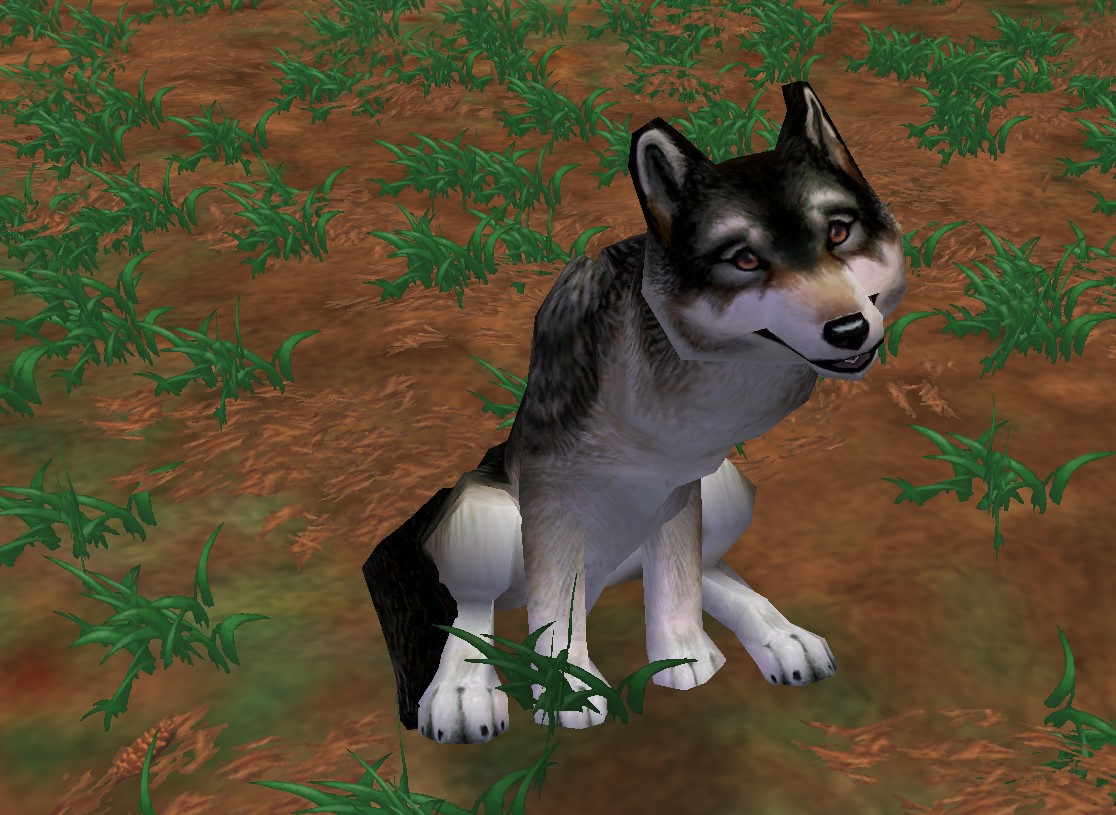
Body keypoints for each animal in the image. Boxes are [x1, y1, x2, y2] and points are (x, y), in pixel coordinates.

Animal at [363, 81, 908, 744]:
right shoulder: (552, 495)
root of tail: (609, 569)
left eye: (838, 233)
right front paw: (568, 689)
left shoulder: (678, 486)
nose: (849, 329)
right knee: (476, 609)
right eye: (744, 260)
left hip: (721, 490)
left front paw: (686, 658)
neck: (675, 373)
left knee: (702, 570)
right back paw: (462, 693)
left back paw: (778, 635)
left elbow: (676, 579)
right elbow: (554, 609)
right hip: (484, 512)